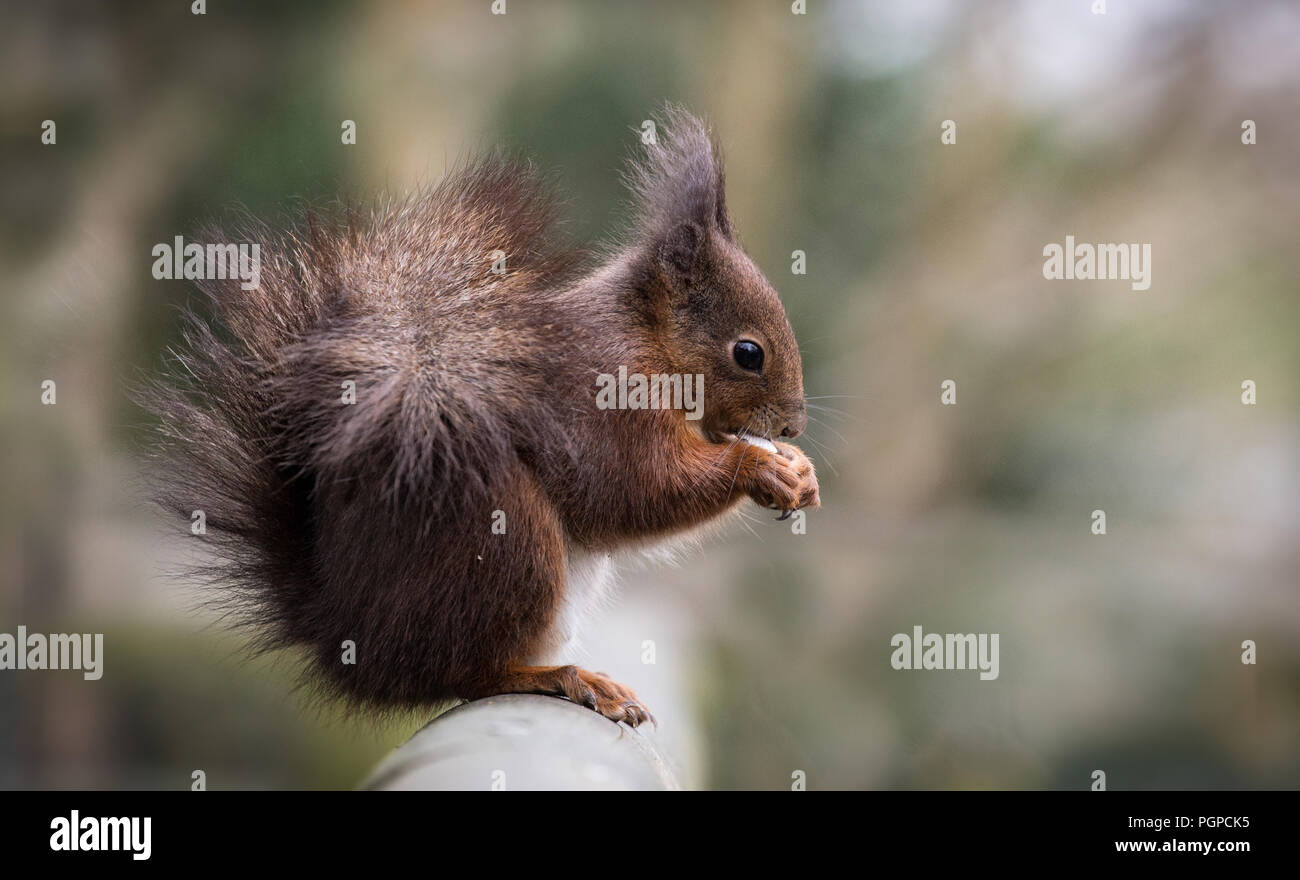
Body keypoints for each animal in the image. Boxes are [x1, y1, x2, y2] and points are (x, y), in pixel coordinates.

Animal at [141, 107, 818, 727]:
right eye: (748, 352)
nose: (792, 427)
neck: (648, 340)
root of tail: (347, 639)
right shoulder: (602, 395)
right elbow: (634, 489)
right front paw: (760, 468)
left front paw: (799, 470)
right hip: (505, 538)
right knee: (465, 674)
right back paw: (565, 678)